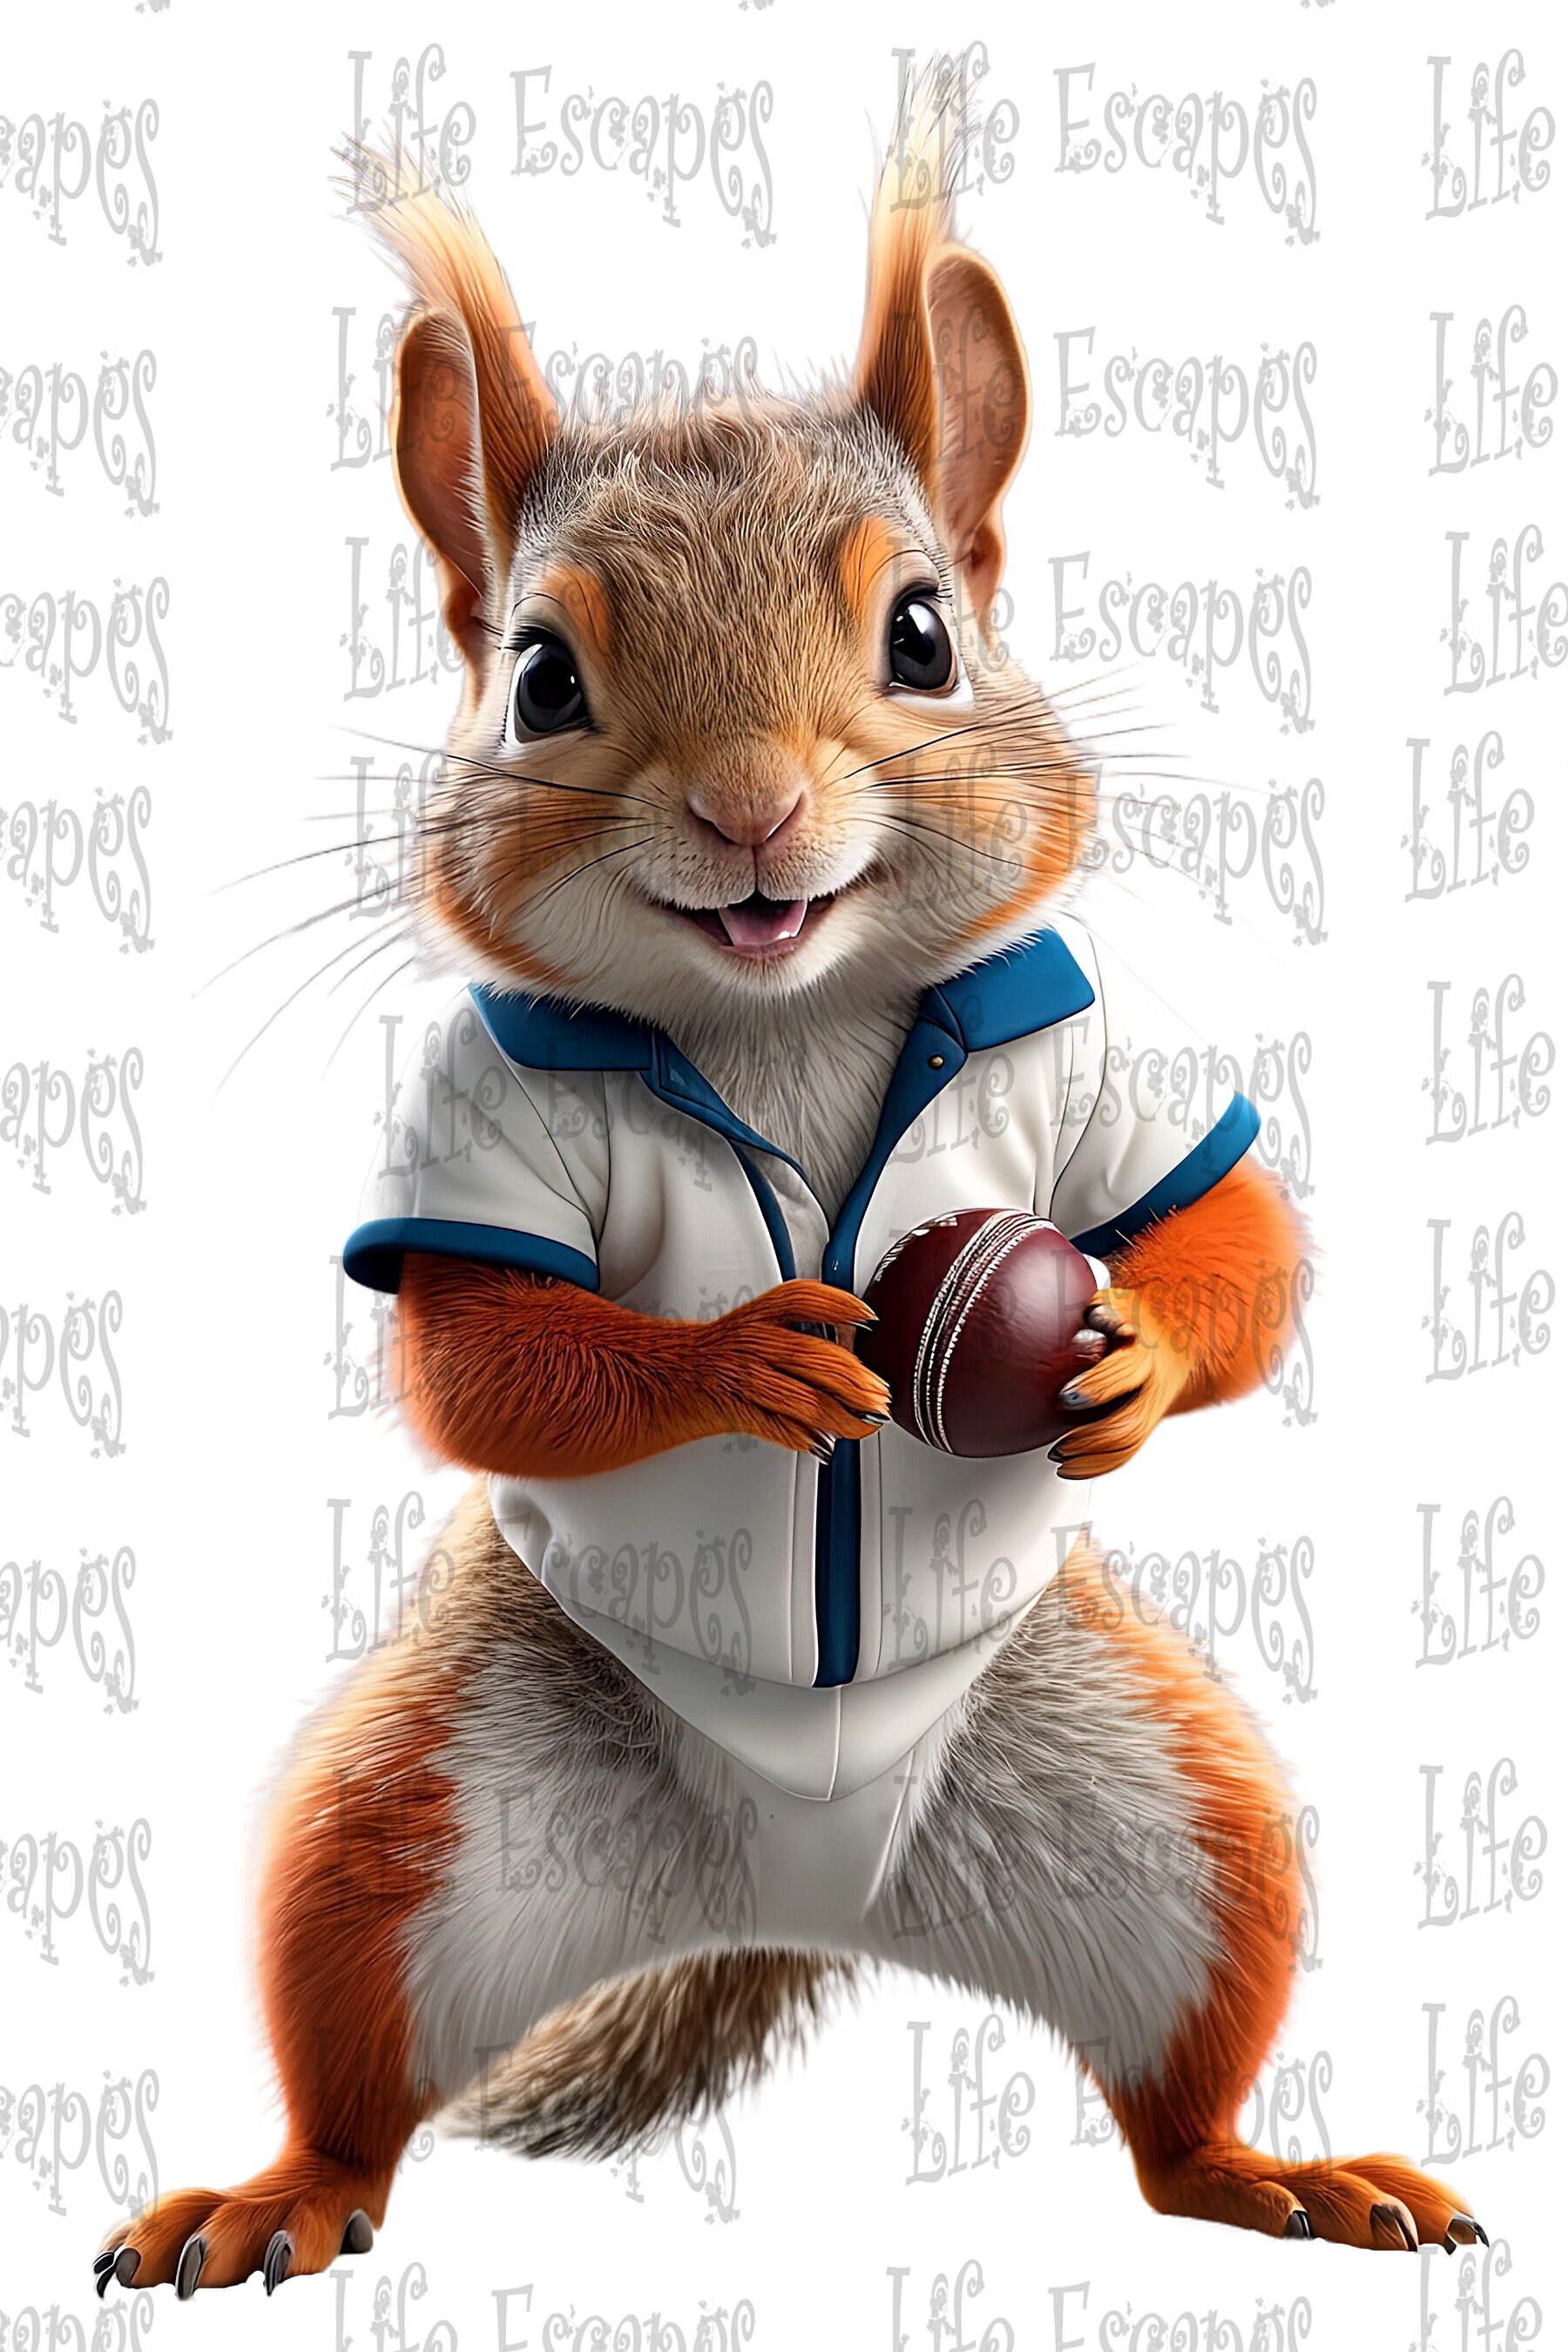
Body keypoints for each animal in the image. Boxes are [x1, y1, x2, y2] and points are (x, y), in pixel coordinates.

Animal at [96, 74, 1481, 2300]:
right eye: (542, 678)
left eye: (924, 632)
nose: (750, 809)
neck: (781, 1017)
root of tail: (795, 1889)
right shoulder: (477, 1124)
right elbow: (488, 1354)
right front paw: (745, 1356)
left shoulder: (1087, 1047)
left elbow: (1234, 1238)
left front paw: (1129, 1349)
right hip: (418, 1814)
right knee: (355, 2055)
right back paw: (281, 2191)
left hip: (1165, 1815)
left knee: (1176, 2100)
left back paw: (1280, 2171)